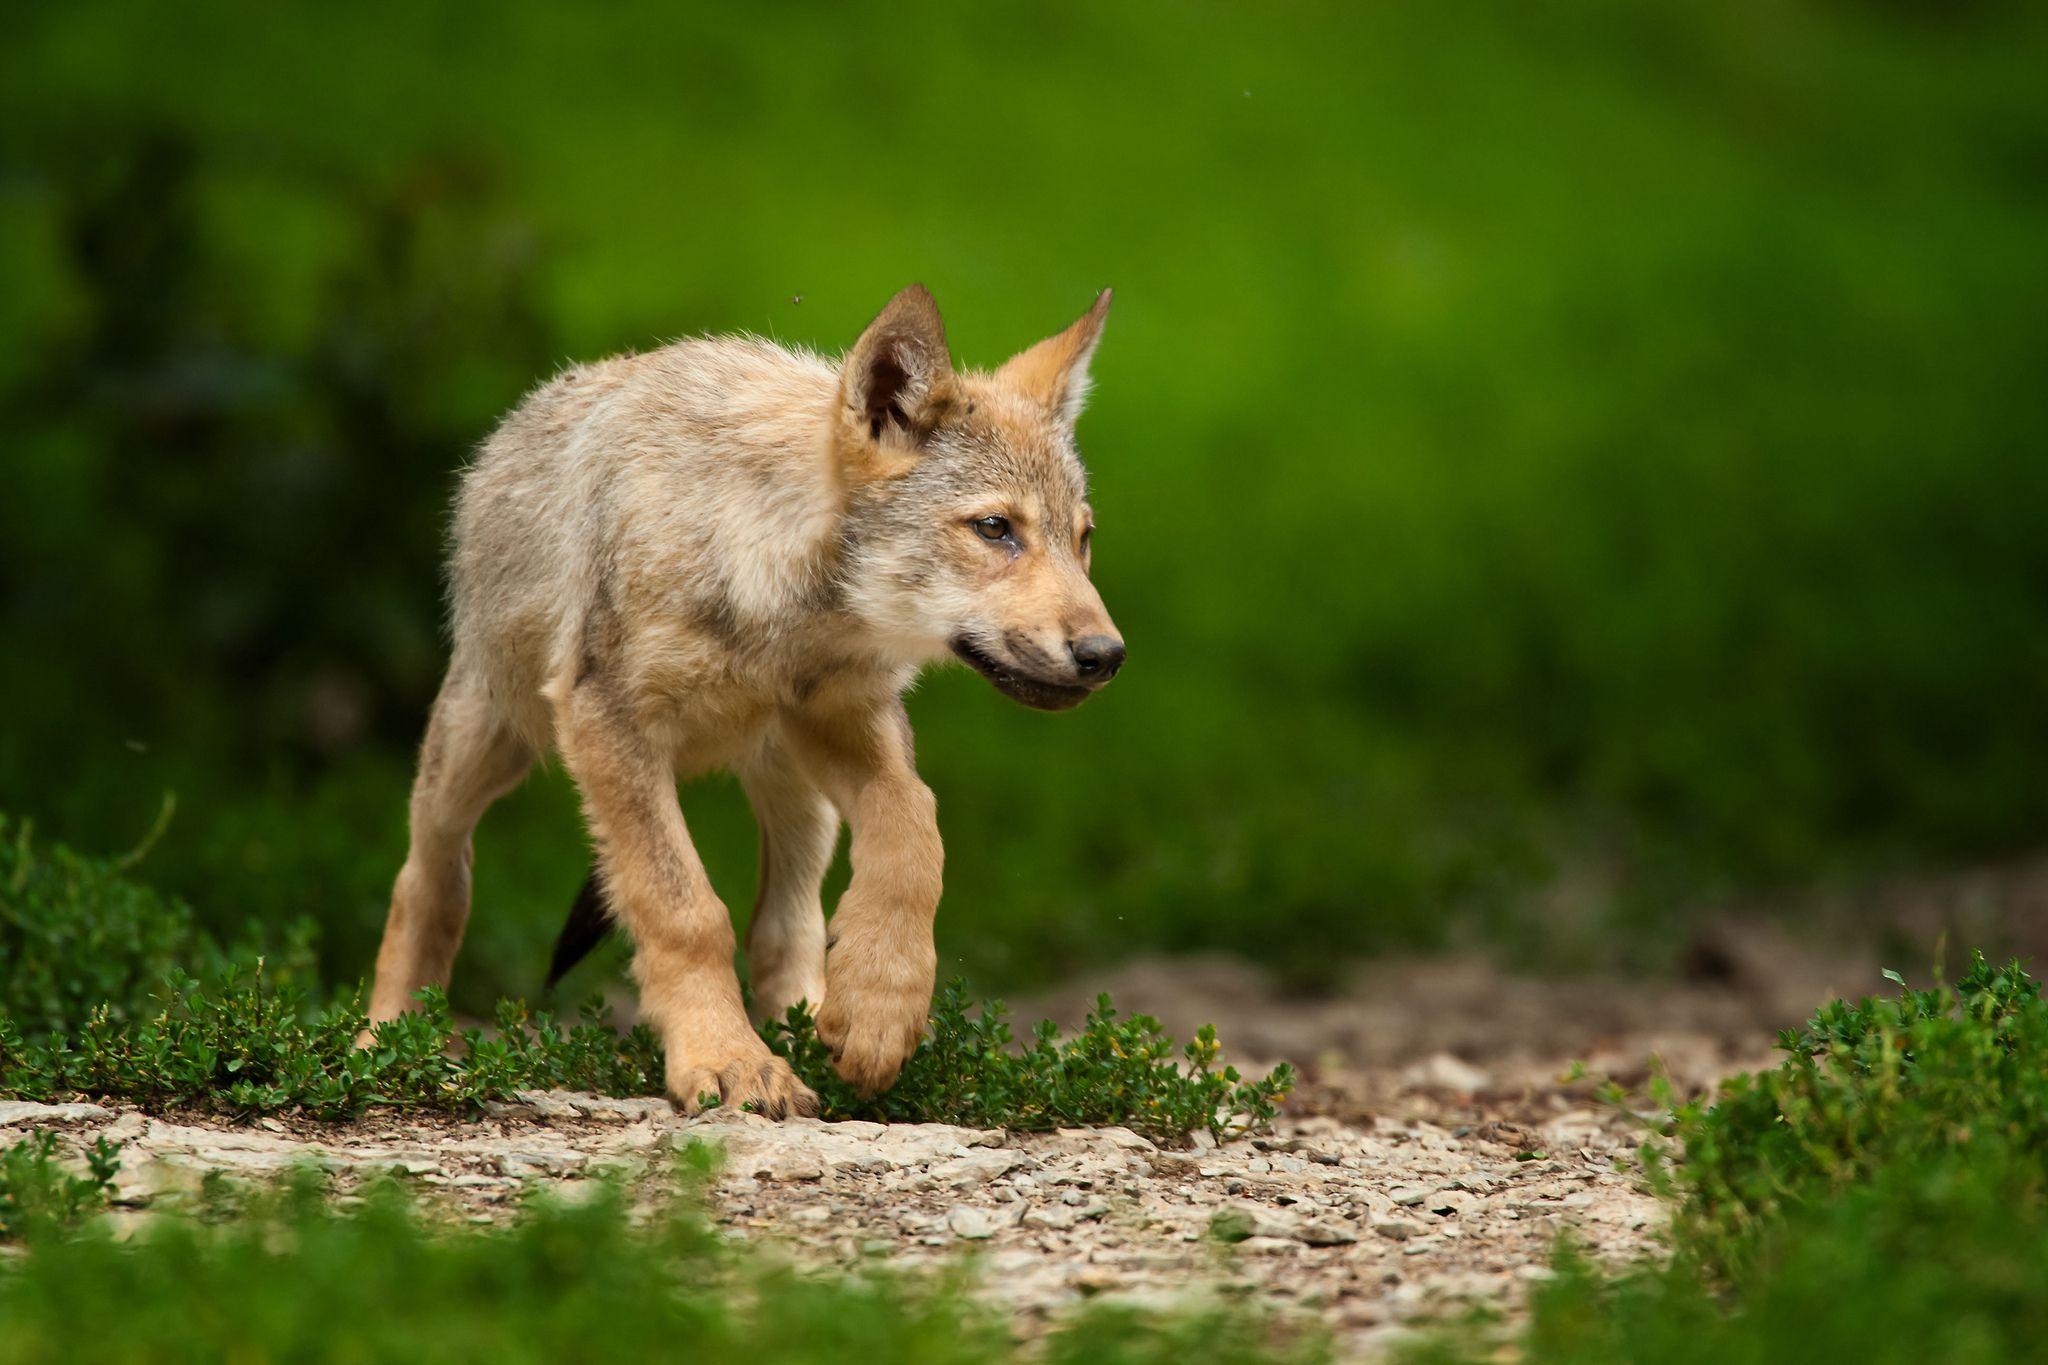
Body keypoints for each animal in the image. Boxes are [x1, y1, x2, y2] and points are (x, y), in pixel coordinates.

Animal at [362, 285, 1124, 1117]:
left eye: (1083, 539)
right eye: (995, 528)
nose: (1107, 655)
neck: (771, 594)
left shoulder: (842, 714)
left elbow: (915, 827)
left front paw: (877, 1007)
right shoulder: (608, 725)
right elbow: (685, 909)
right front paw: (728, 1059)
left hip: (799, 796)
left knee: (785, 925)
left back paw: (811, 1021)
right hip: (481, 745)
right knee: (428, 880)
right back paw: (389, 1041)